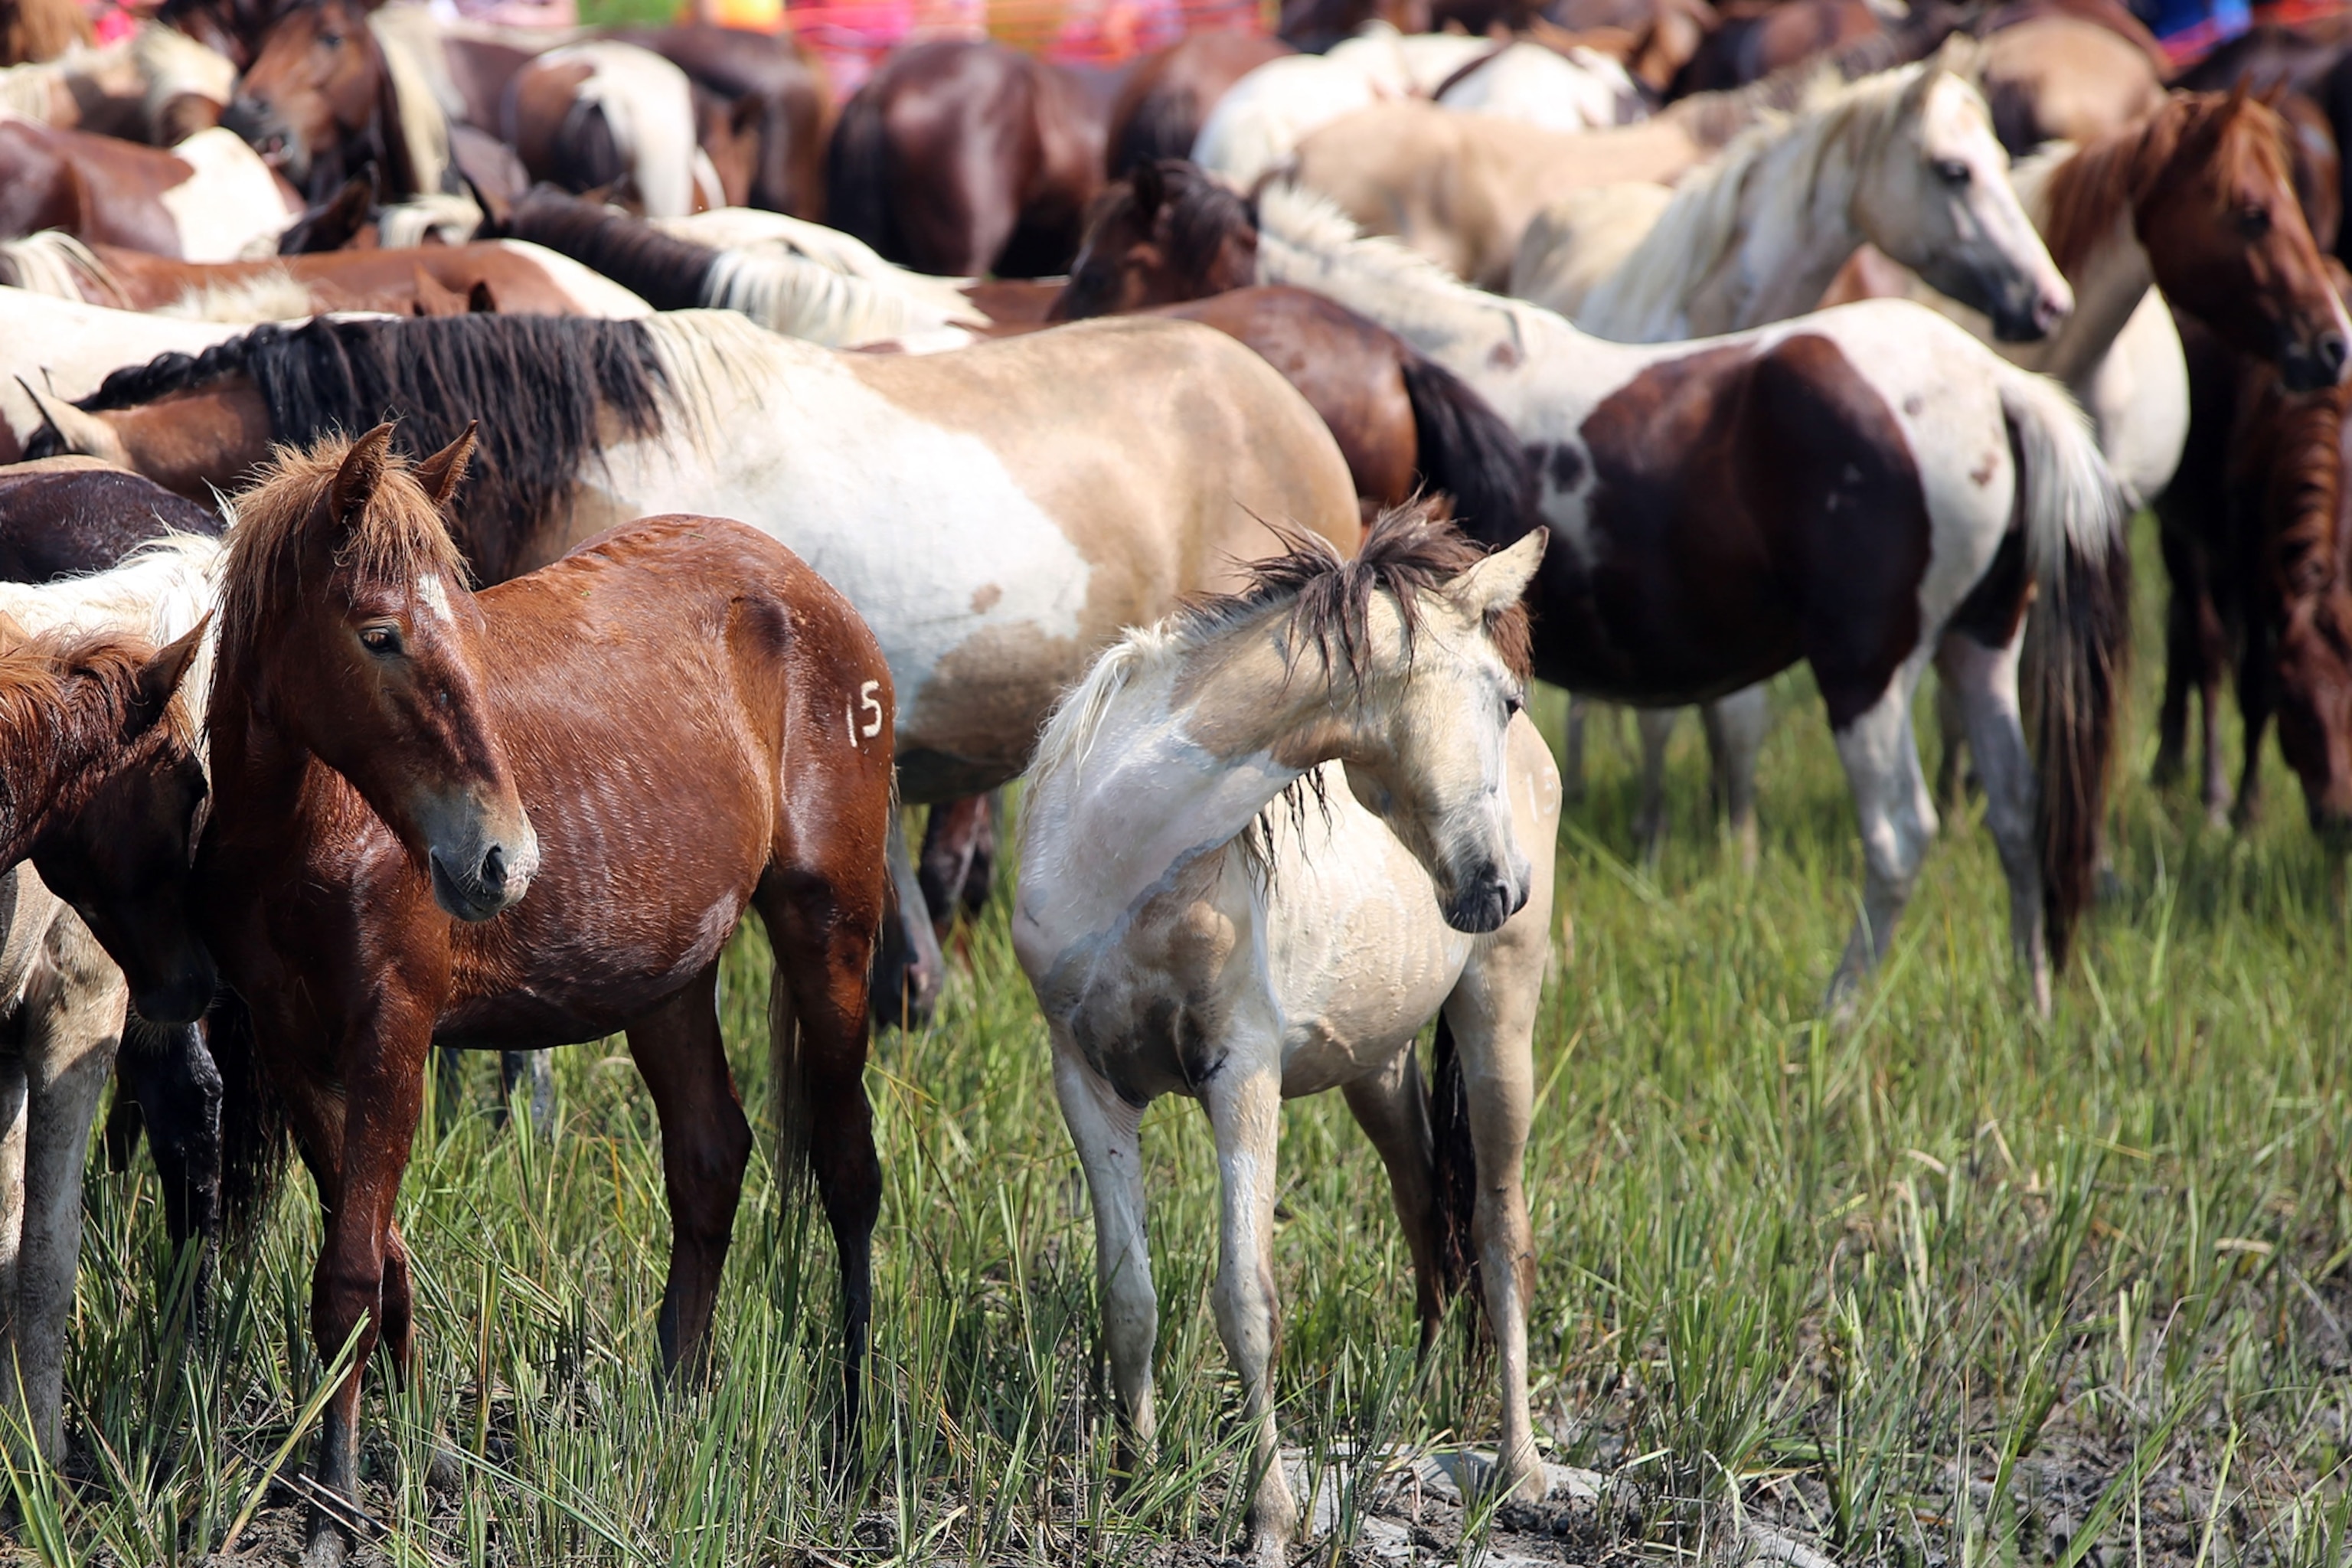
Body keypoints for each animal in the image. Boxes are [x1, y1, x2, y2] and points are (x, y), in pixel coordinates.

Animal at [191, 427, 894, 1566]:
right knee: (710, 1159)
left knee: (847, 1169)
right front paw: (419, 1448)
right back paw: (671, 1404)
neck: (312, 826)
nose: (501, 861)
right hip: (668, 979)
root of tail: (803, 585)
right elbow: (379, 1253)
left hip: (829, 934)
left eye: (467, 631)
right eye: (379, 634)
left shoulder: (392, 1033)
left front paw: (336, 1503)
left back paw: (855, 1427)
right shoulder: (296, 1047)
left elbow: (349, 1273)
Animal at [1015, 510, 1557, 1552]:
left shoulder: (1242, 1071)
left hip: (1498, 1016)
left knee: (1498, 1222)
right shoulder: (1086, 1080)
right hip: (1377, 1066)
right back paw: (1417, 1398)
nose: (1501, 885)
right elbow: (1128, 1294)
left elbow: (1246, 1296)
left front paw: (1266, 1513)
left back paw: (1522, 1468)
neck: (1118, 851)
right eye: (1503, 696)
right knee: (1424, 1201)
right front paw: (1135, 1477)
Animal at [1067, 165, 2134, 1012]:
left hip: (1868, 667)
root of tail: (1996, 382)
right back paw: (2033, 996)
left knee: (1901, 833)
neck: (1405, 371)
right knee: (2016, 810)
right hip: (1977, 647)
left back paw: (1840, 1009)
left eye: (1106, 267)